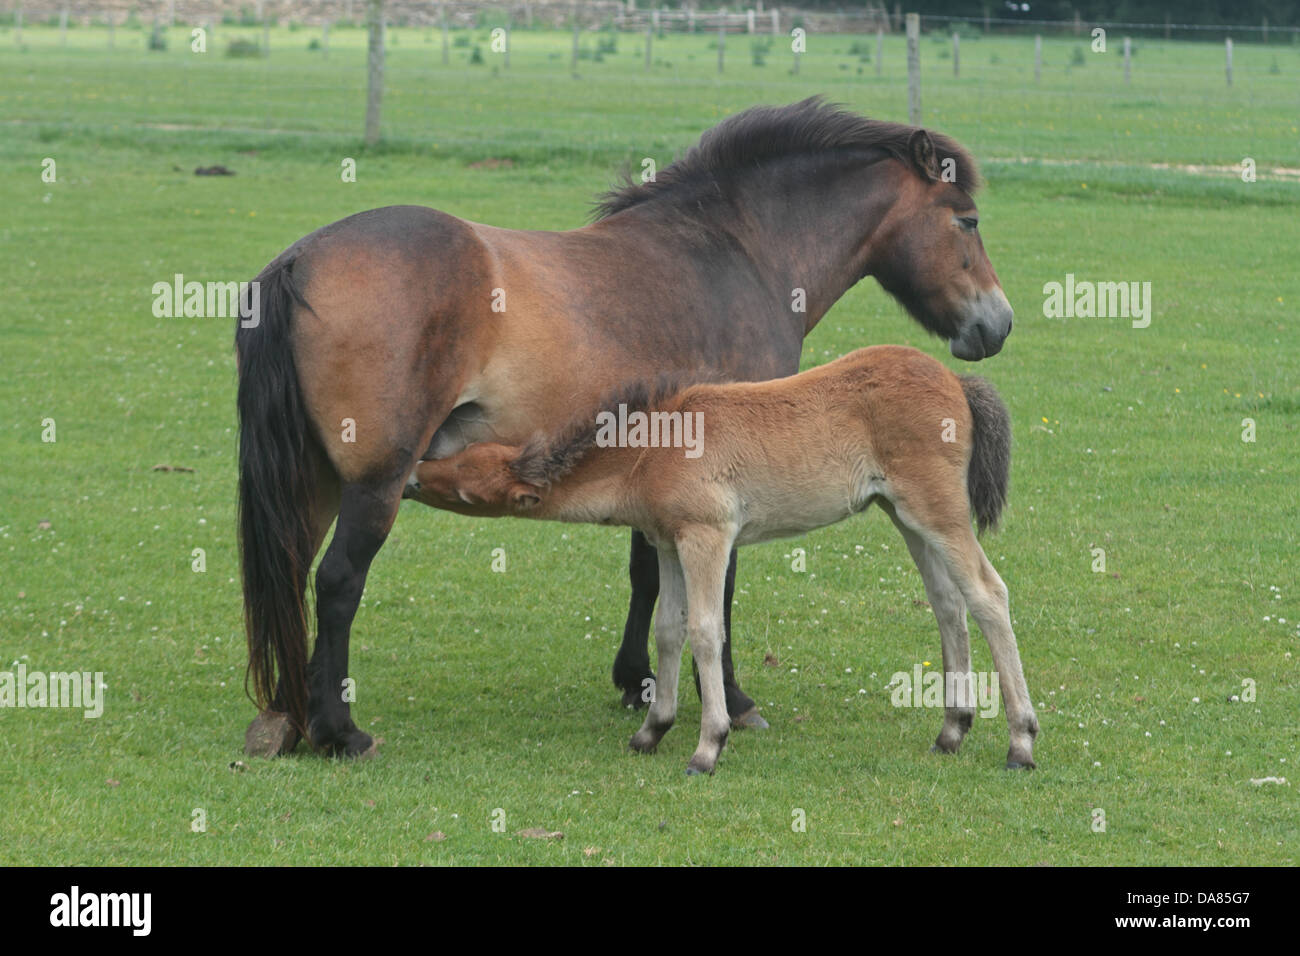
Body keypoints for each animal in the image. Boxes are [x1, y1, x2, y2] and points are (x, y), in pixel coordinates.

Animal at [406, 345, 1038, 775]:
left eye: (463, 489)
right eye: (462, 457)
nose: (412, 475)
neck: (650, 451)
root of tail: (956, 379)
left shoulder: (707, 536)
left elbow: (707, 632)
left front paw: (708, 745)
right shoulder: (666, 542)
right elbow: (668, 629)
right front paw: (651, 730)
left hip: (938, 512)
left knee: (987, 594)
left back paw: (1021, 742)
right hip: (905, 516)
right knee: (947, 604)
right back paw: (951, 731)